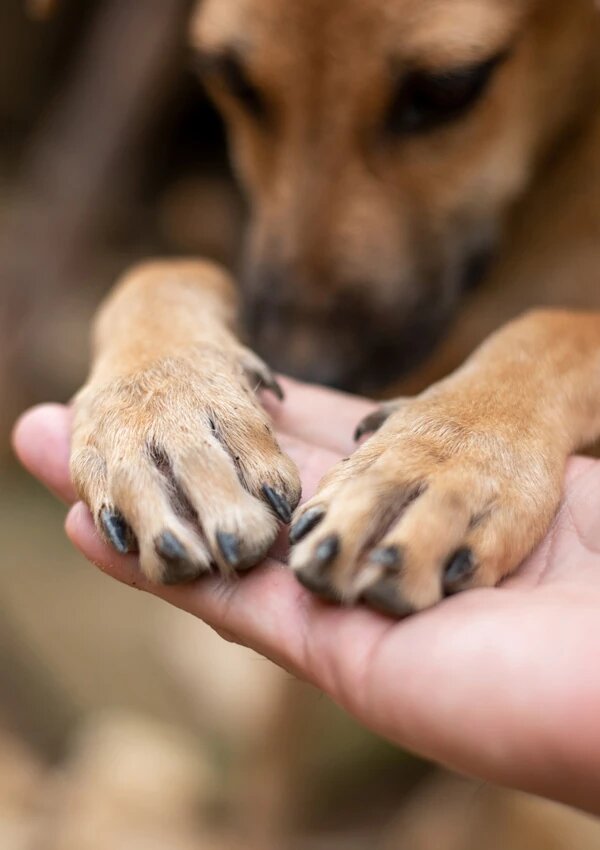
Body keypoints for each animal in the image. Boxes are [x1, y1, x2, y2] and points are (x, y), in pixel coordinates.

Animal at [69, 0, 600, 612]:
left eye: (447, 90)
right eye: (232, 80)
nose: (306, 373)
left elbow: (556, 327)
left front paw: (443, 457)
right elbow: (164, 269)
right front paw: (161, 408)